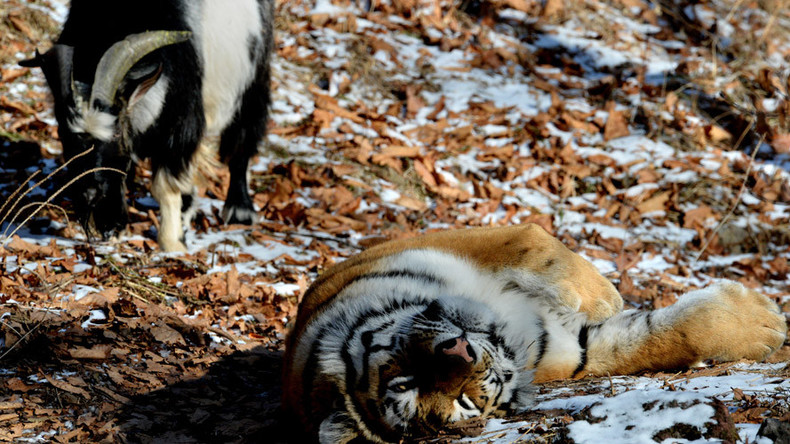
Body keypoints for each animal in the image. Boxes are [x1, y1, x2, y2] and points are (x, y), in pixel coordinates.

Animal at [21, 0, 273, 251]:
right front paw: (114, 227)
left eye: (115, 134)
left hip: (252, 79)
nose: (89, 194)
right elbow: (121, 174)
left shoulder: (181, 124)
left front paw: (173, 243)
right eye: (63, 134)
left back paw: (240, 210)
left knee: (243, 138)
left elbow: (165, 185)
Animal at [281, 224, 787, 443]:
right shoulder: (569, 349)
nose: (460, 351)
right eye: (464, 405)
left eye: (403, 378)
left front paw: (599, 295)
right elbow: (641, 341)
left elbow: (535, 243)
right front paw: (767, 323)